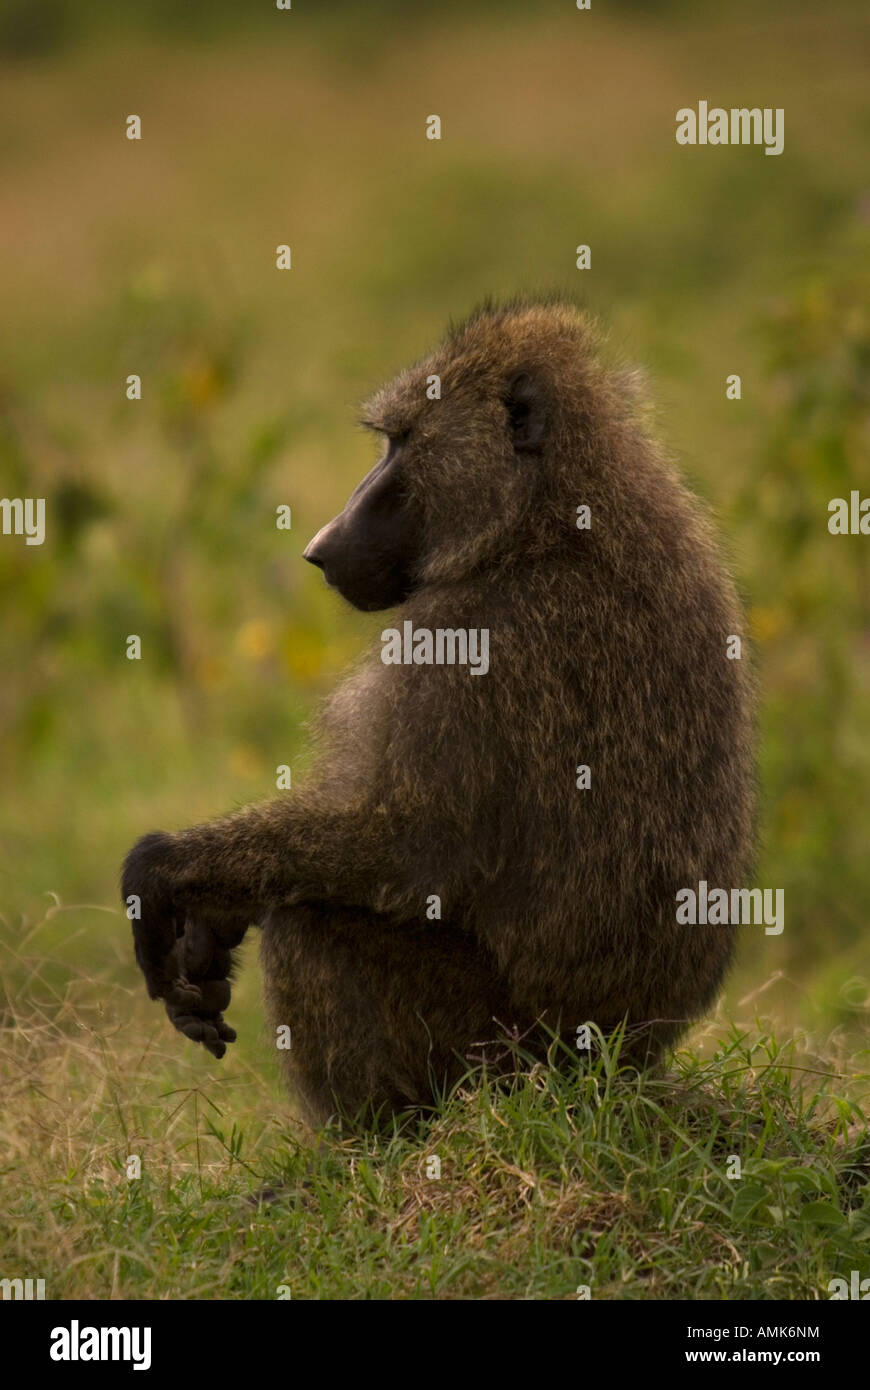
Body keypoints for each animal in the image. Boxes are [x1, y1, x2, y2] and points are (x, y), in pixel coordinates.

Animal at [122, 300, 755, 1128]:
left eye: (401, 442)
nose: (320, 548)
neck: (545, 518)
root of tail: (619, 1066)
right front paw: (207, 929)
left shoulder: (465, 638)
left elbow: (408, 848)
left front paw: (168, 871)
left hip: (499, 1057)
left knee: (310, 926)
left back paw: (372, 1140)